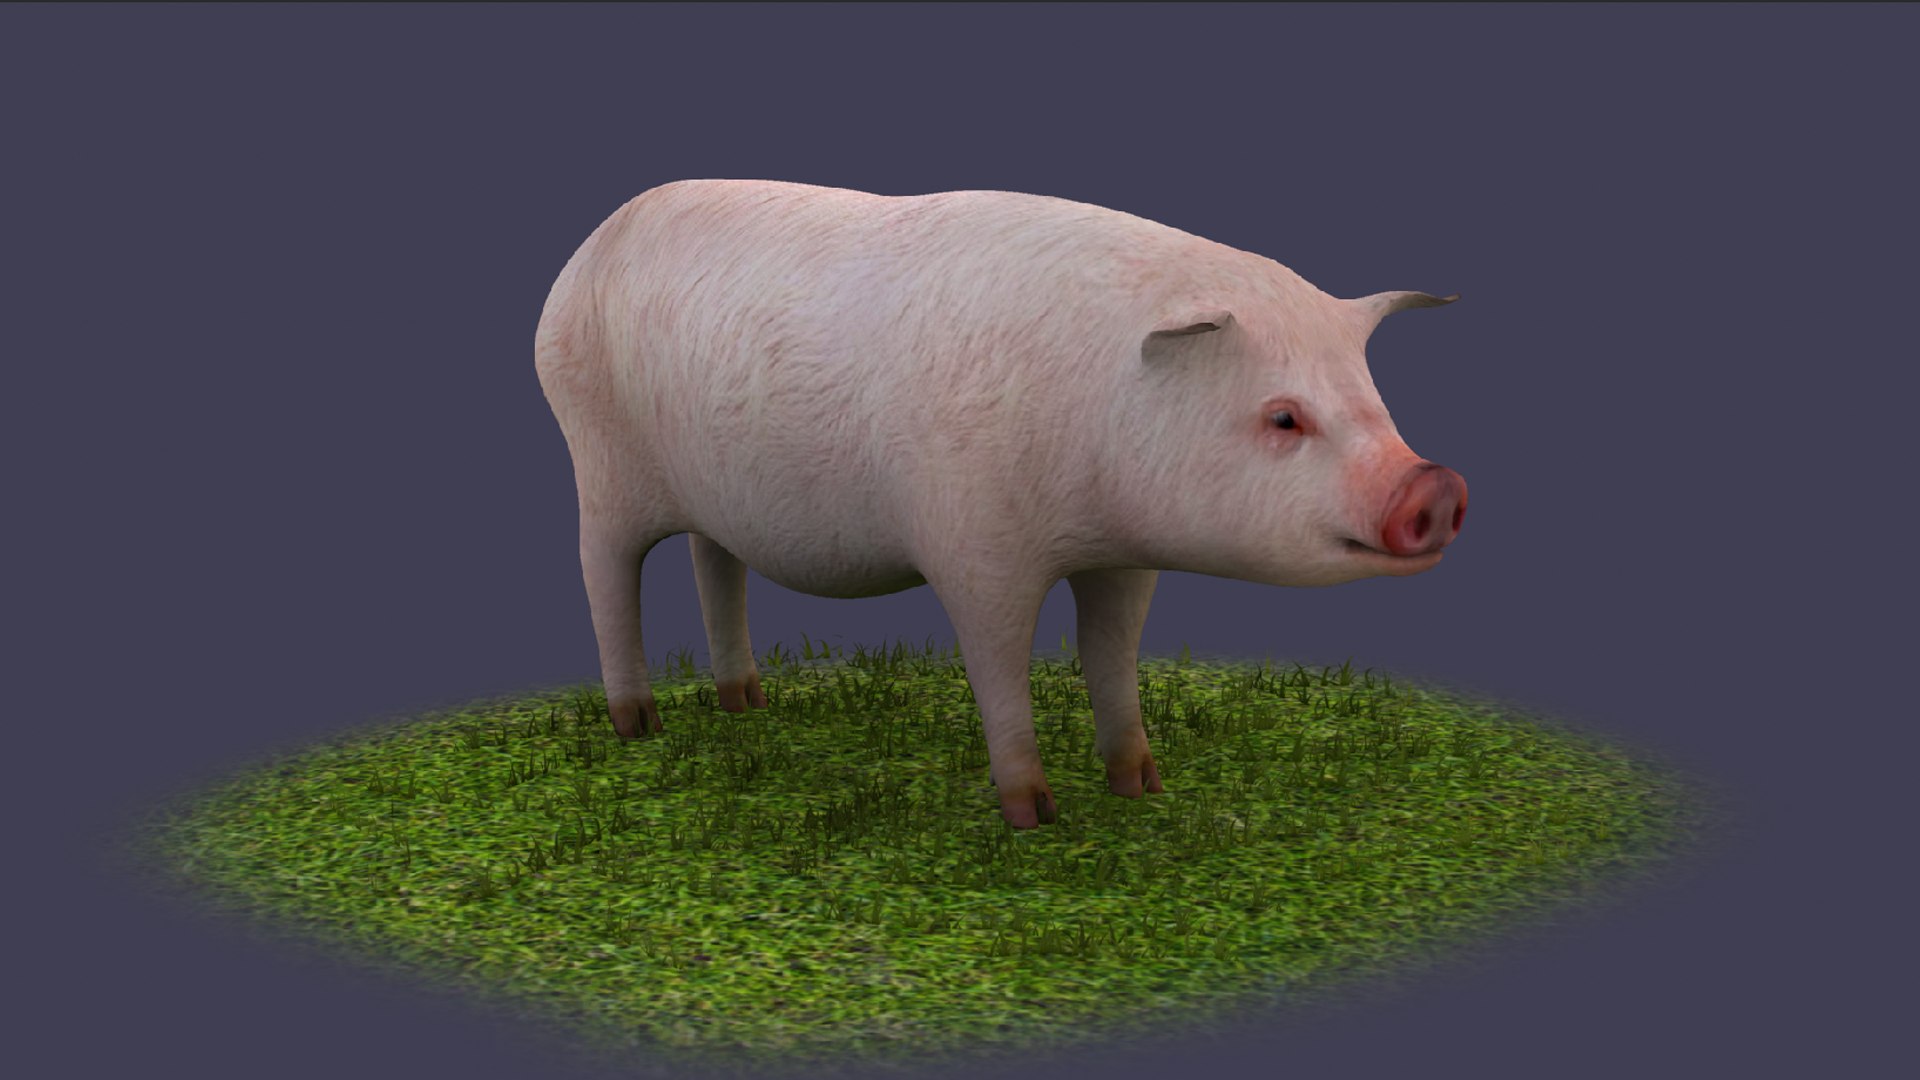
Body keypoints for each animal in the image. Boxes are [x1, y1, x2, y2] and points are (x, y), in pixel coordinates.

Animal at [534, 179, 1467, 829]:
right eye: (1283, 417)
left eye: (1374, 402)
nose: (1437, 487)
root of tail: (585, 250)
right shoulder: (971, 539)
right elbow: (997, 659)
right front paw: (1033, 816)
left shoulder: (1124, 558)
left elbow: (1112, 653)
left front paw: (1142, 787)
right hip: (596, 458)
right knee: (603, 575)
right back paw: (638, 726)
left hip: (718, 494)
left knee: (714, 566)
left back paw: (747, 705)